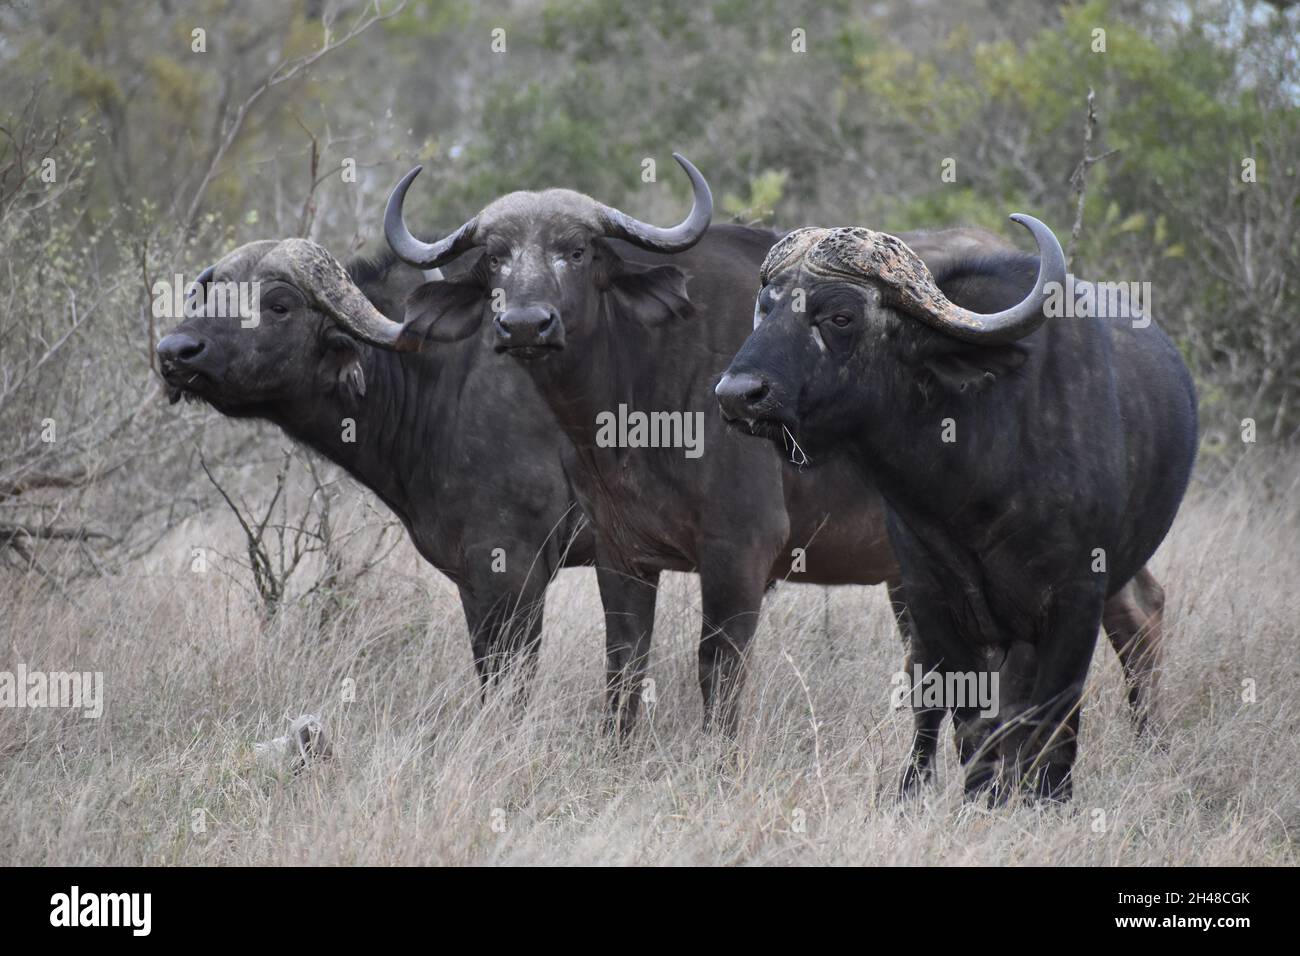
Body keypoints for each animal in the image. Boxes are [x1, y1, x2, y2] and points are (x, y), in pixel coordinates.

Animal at [379, 156, 1171, 755]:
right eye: (494, 260)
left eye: (575, 251)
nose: (523, 325)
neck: (641, 388)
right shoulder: (619, 552)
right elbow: (624, 665)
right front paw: (616, 755)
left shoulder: (737, 553)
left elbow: (717, 669)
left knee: (1131, 616)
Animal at [716, 216, 1197, 800]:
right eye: (767, 306)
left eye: (839, 316)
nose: (738, 393)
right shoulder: (930, 596)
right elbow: (968, 719)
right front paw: (981, 795)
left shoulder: (1076, 596)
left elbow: (1054, 719)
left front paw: (1049, 798)